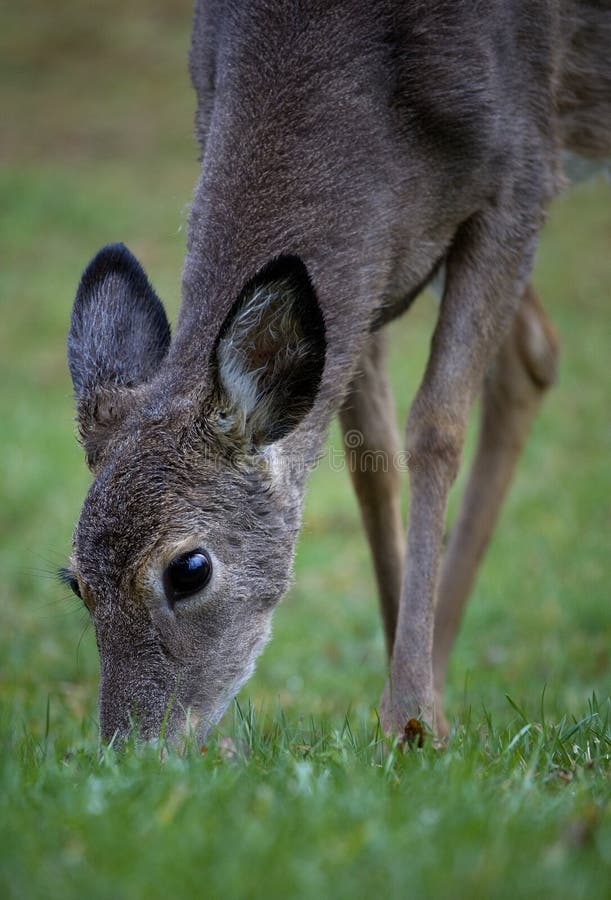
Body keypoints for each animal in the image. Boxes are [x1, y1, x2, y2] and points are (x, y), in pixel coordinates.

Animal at [61, 0, 610, 745]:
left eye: (189, 569)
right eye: (75, 581)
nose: (131, 750)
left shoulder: (522, 170)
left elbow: (435, 427)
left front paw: (410, 713)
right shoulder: (368, 274)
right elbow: (371, 457)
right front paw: (414, 704)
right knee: (533, 349)